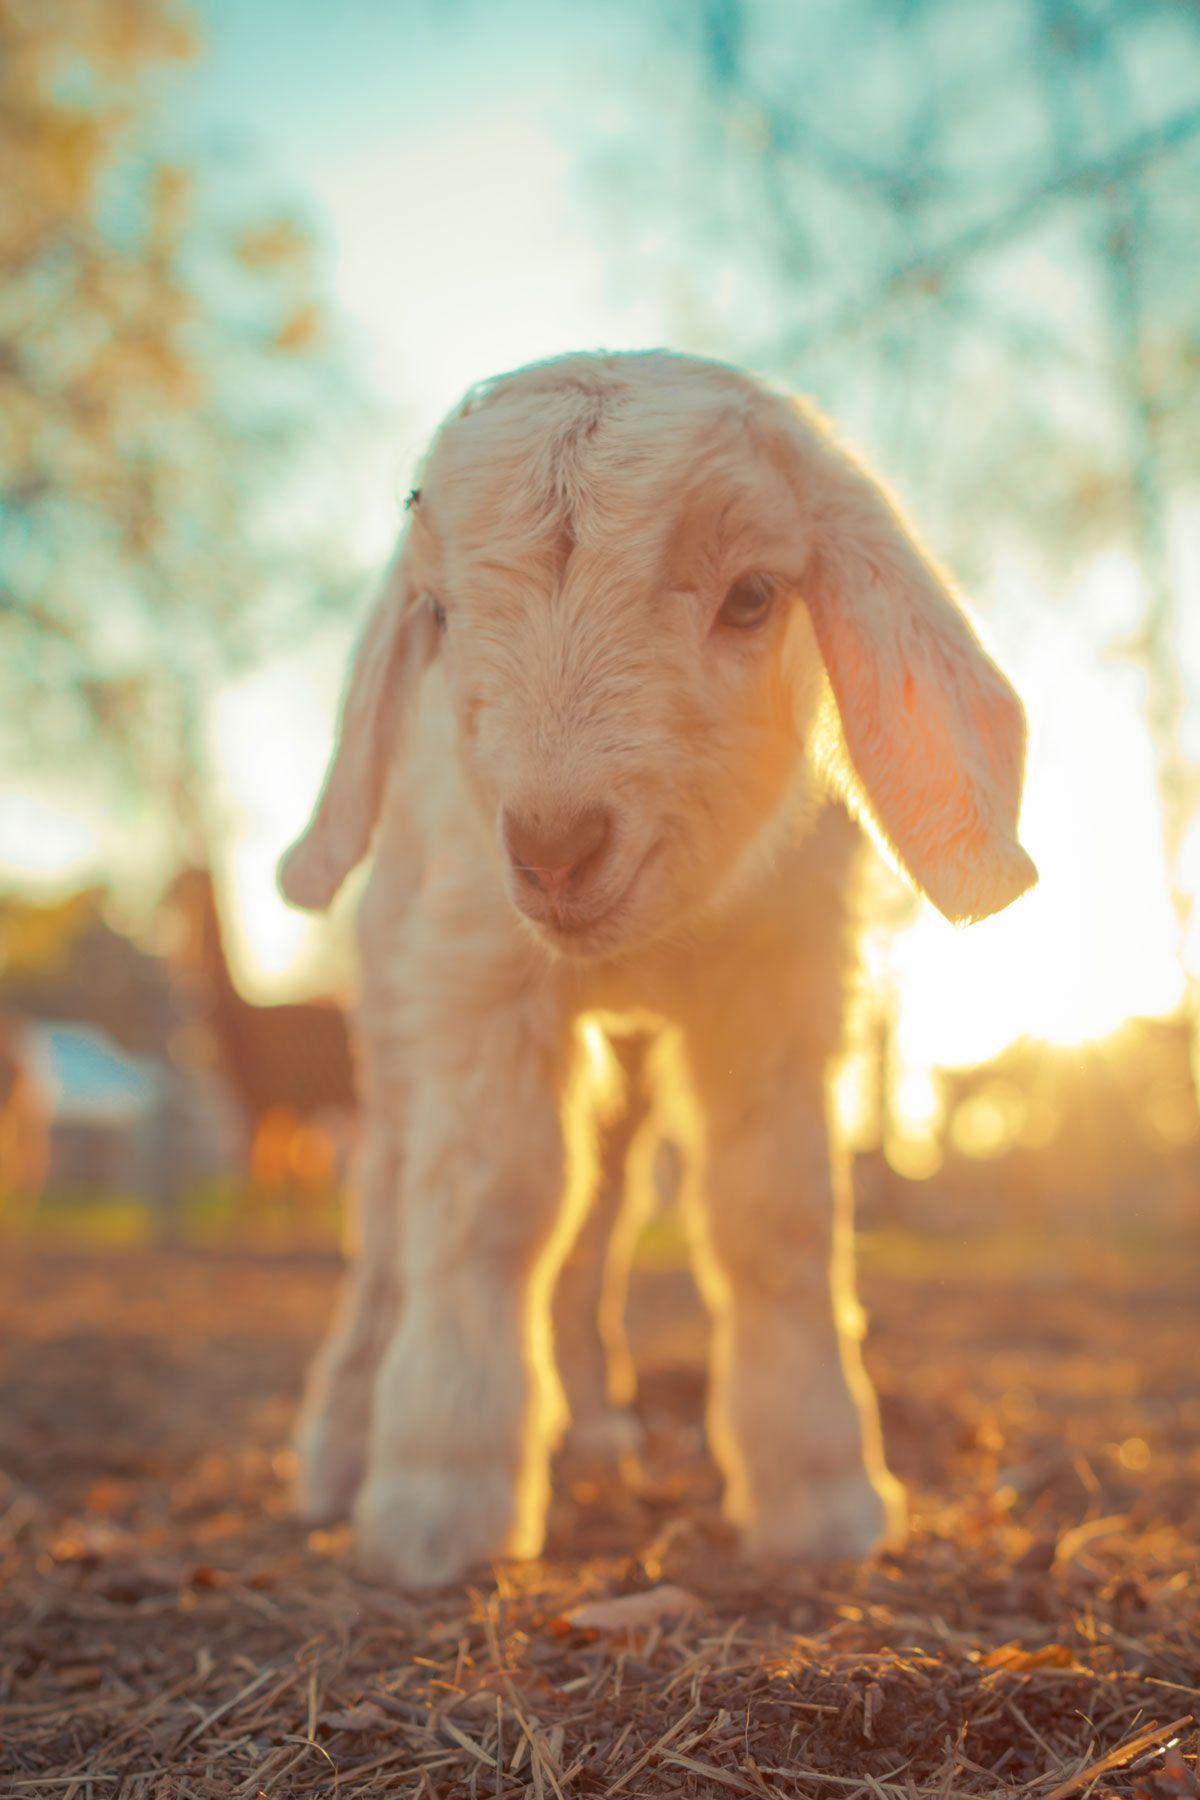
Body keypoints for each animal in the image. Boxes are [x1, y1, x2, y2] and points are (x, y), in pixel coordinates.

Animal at [279, 350, 1036, 1587]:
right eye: (438, 614)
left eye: (754, 597)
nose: (553, 850)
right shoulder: (485, 967)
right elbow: (488, 1205)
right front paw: (438, 1504)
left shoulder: (782, 984)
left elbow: (774, 1219)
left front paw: (823, 1502)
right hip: (395, 973)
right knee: (393, 1203)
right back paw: (342, 1446)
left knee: (601, 1209)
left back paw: (590, 1421)